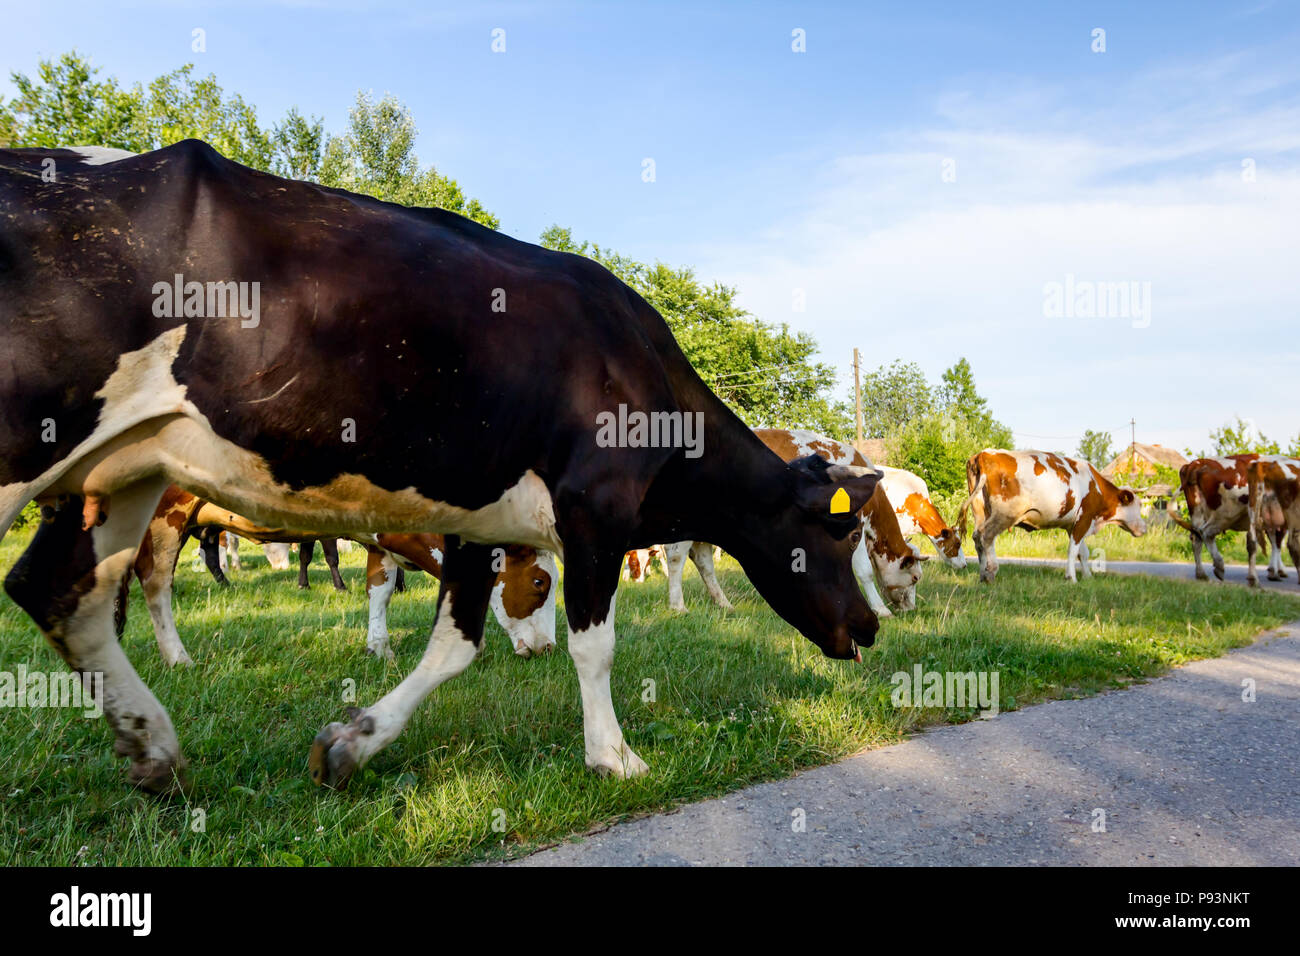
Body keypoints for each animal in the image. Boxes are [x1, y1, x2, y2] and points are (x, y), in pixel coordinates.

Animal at [0, 140, 882, 792]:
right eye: (840, 536)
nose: (873, 627)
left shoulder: (480, 522)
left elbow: (454, 646)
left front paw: (353, 742)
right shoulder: (594, 508)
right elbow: (593, 646)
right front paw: (615, 757)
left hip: (121, 467)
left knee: (58, 588)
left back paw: (154, 749)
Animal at [959, 449, 1146, 583]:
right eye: (1138, 505)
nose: (1145, 529)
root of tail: (984, 454)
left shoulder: (1073, 525)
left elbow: (1083, 553)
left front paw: (1088, 576)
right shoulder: (1084, 518)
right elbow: (1073, 551)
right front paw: (1071, 578)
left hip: (981, 511)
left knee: (977, 537)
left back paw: (982, 574)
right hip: (1005, 513)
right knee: (987, 536)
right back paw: (990, 573)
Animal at [1246, 456, 1300, 588]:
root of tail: (1262, 464)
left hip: (1254, 508)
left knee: (1252, 541)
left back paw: (1253, 579)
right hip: (1293, 513)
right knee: (1292, 544)